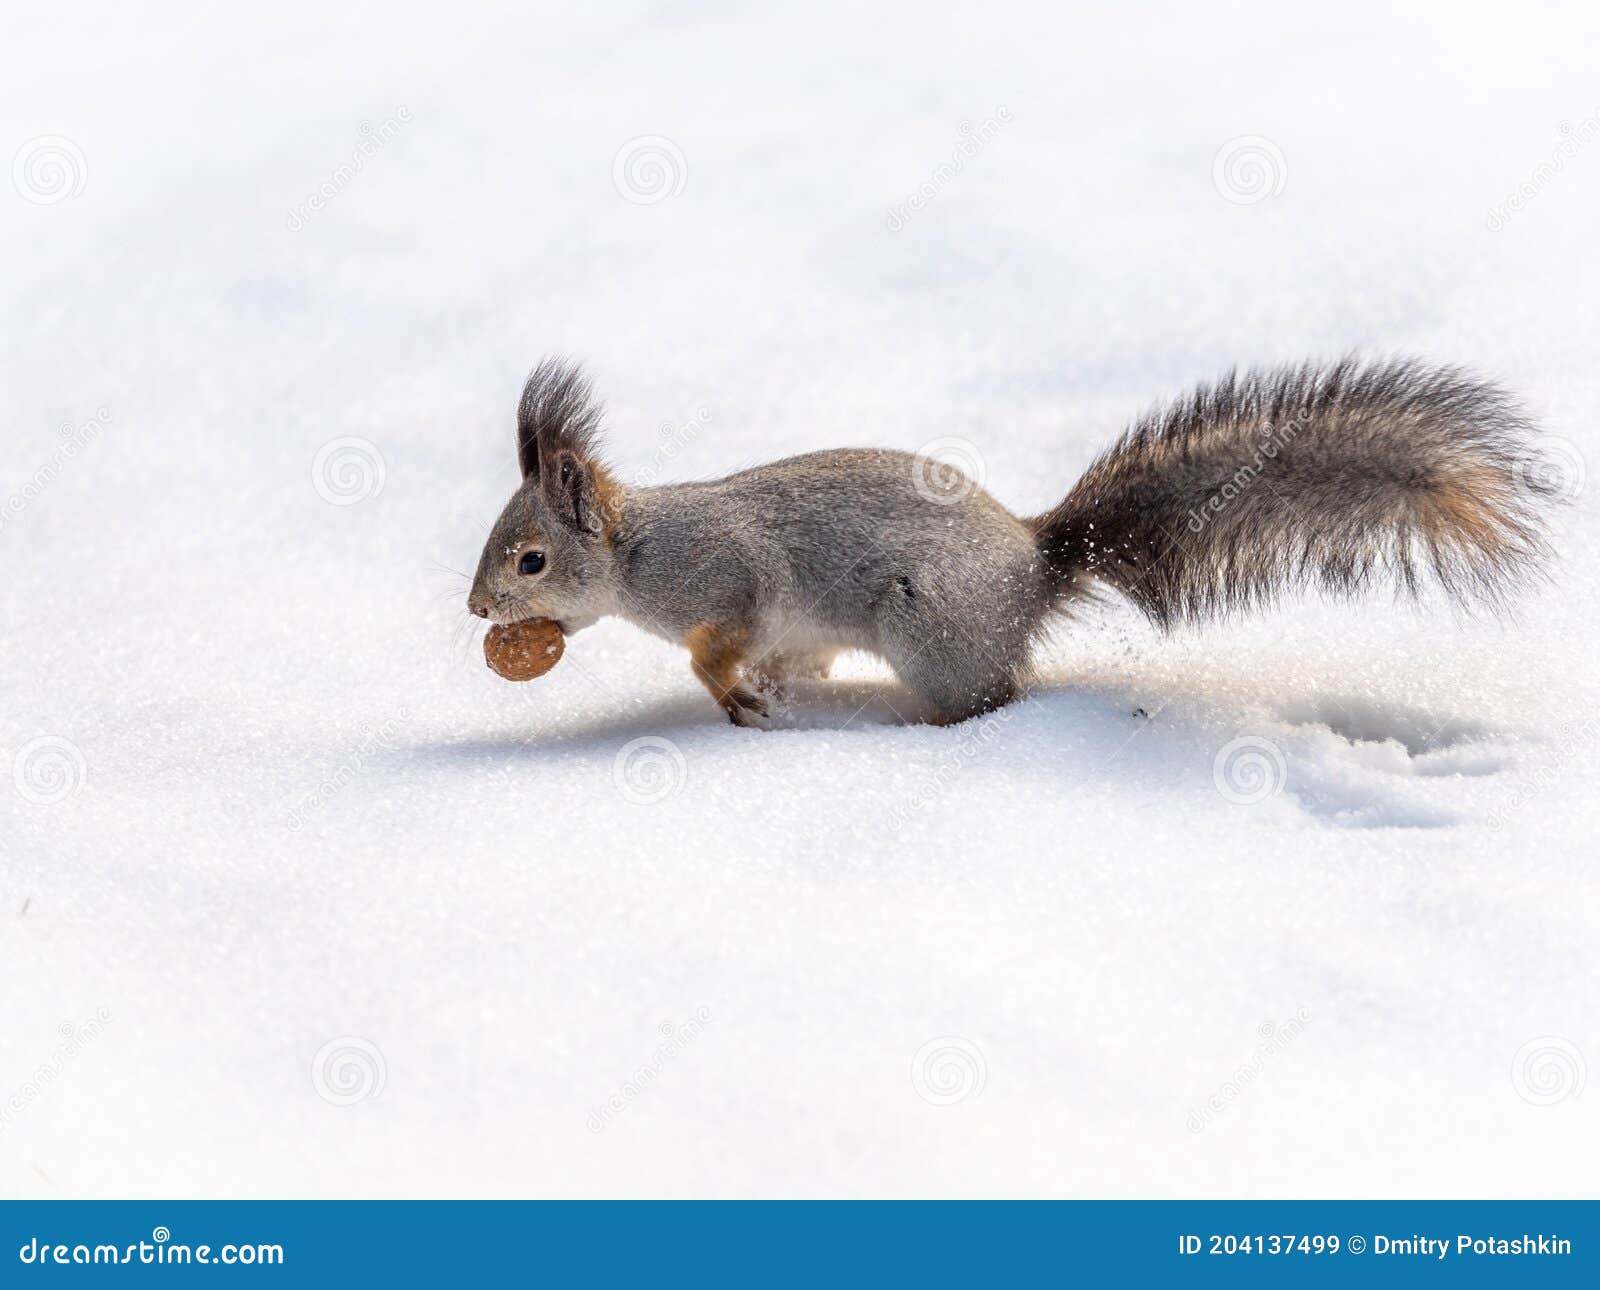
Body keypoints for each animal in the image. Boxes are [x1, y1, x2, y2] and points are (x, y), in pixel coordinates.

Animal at [468, 357, 1555, 727]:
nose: (478, 609)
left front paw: (733, 697)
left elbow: (716, 649)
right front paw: (769, 695)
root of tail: (1033, 566)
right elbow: (786, 659)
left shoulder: (725, 583)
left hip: (928, 630)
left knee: (993, 702)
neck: (639, 556)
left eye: (530, 559)